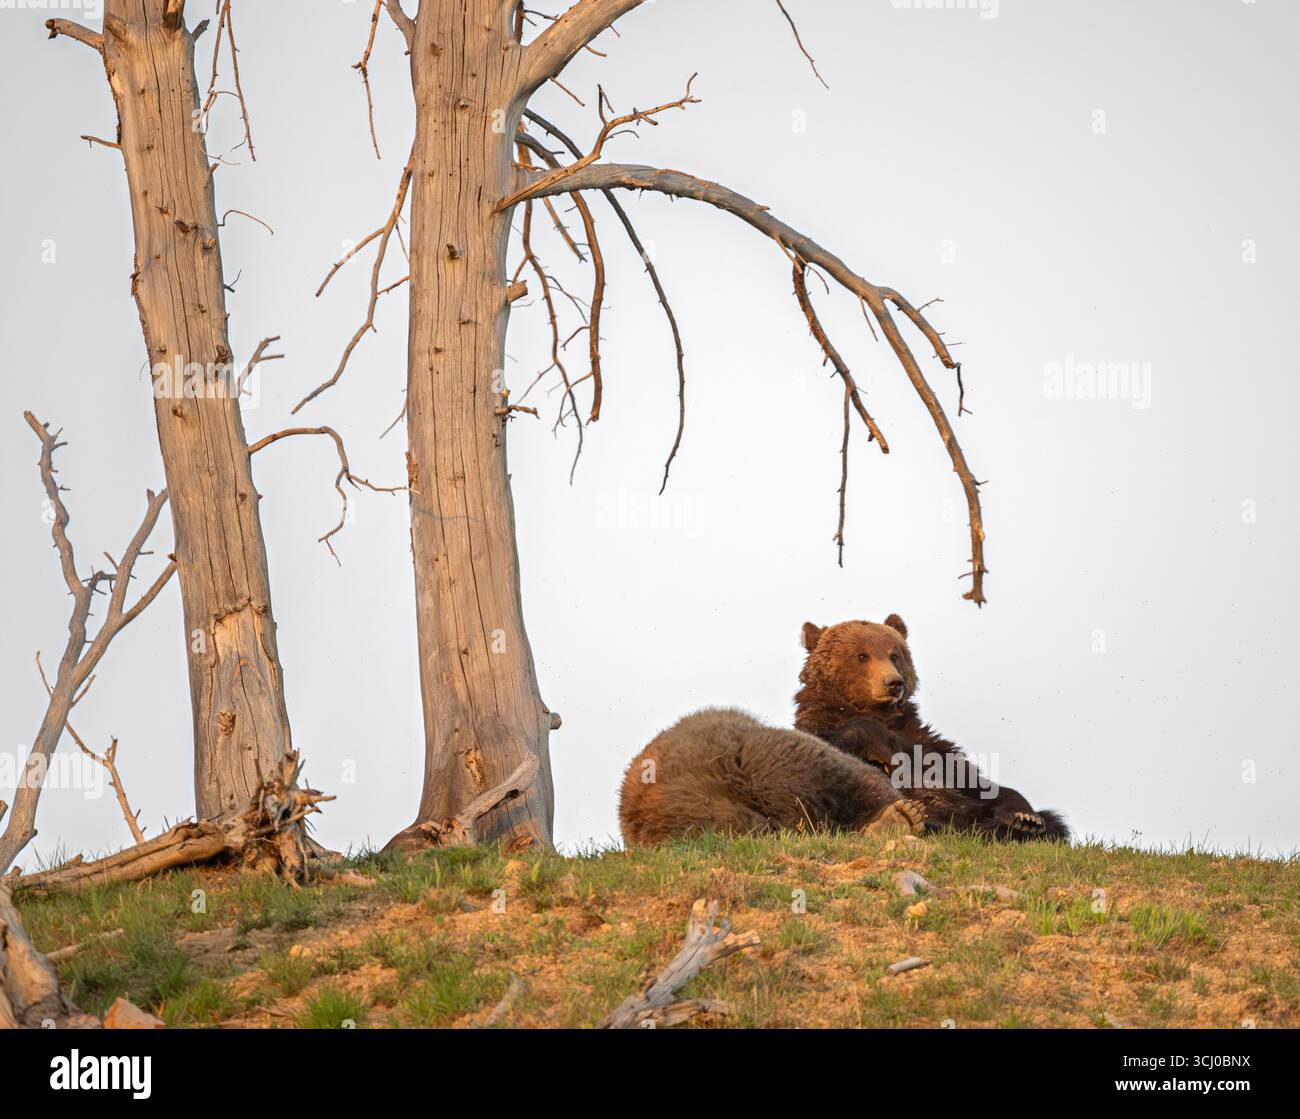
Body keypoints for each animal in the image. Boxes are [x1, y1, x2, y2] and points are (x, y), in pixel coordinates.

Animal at [794, 615, 1069, 841]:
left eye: (894, 654)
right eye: (862, 655)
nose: (893, 682)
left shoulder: (922, 740)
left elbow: (963, 774)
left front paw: (1023, 814)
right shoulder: (820, 724)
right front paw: (878, 750)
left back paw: (1025, 819)